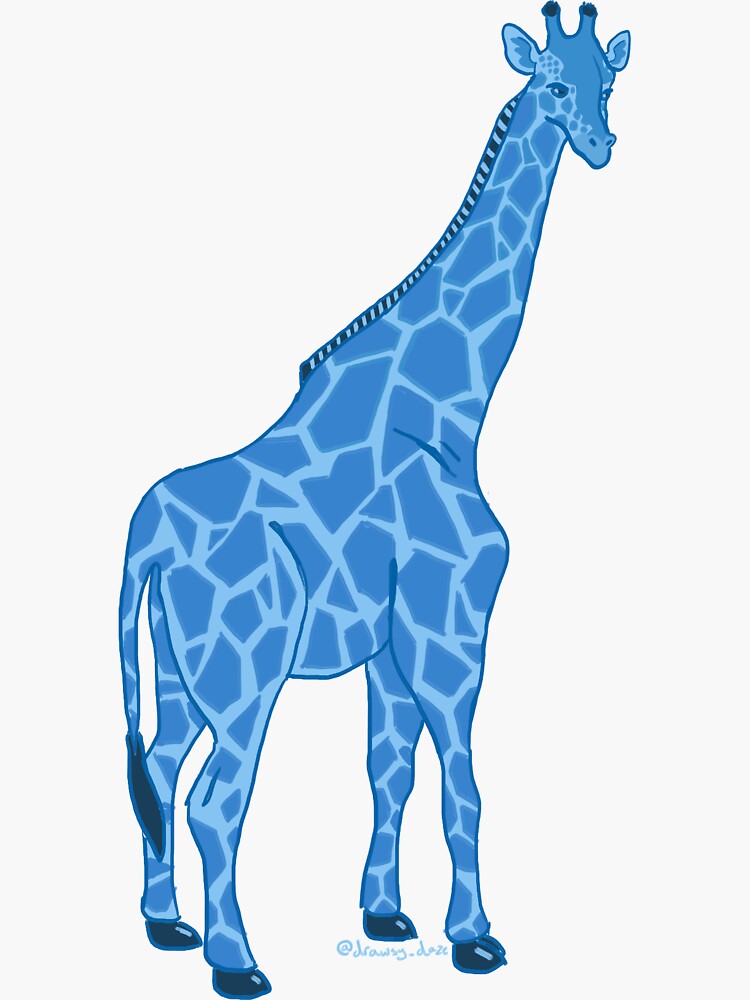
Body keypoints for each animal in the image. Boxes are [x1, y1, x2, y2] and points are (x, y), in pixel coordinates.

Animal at [119, 5, 631, 997]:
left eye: (608, 81)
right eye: (553, 83)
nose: (599, 144)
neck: (451, 409)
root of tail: (146, 540)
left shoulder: (391, 644)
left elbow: (388, 767)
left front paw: (387, 916)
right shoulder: (451, 628)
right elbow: (465, 783)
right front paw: (476, 939)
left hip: (176, 667)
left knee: (158, 772)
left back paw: (169, 928)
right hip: (247, 672)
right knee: (214, 801)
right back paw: (238, 965)